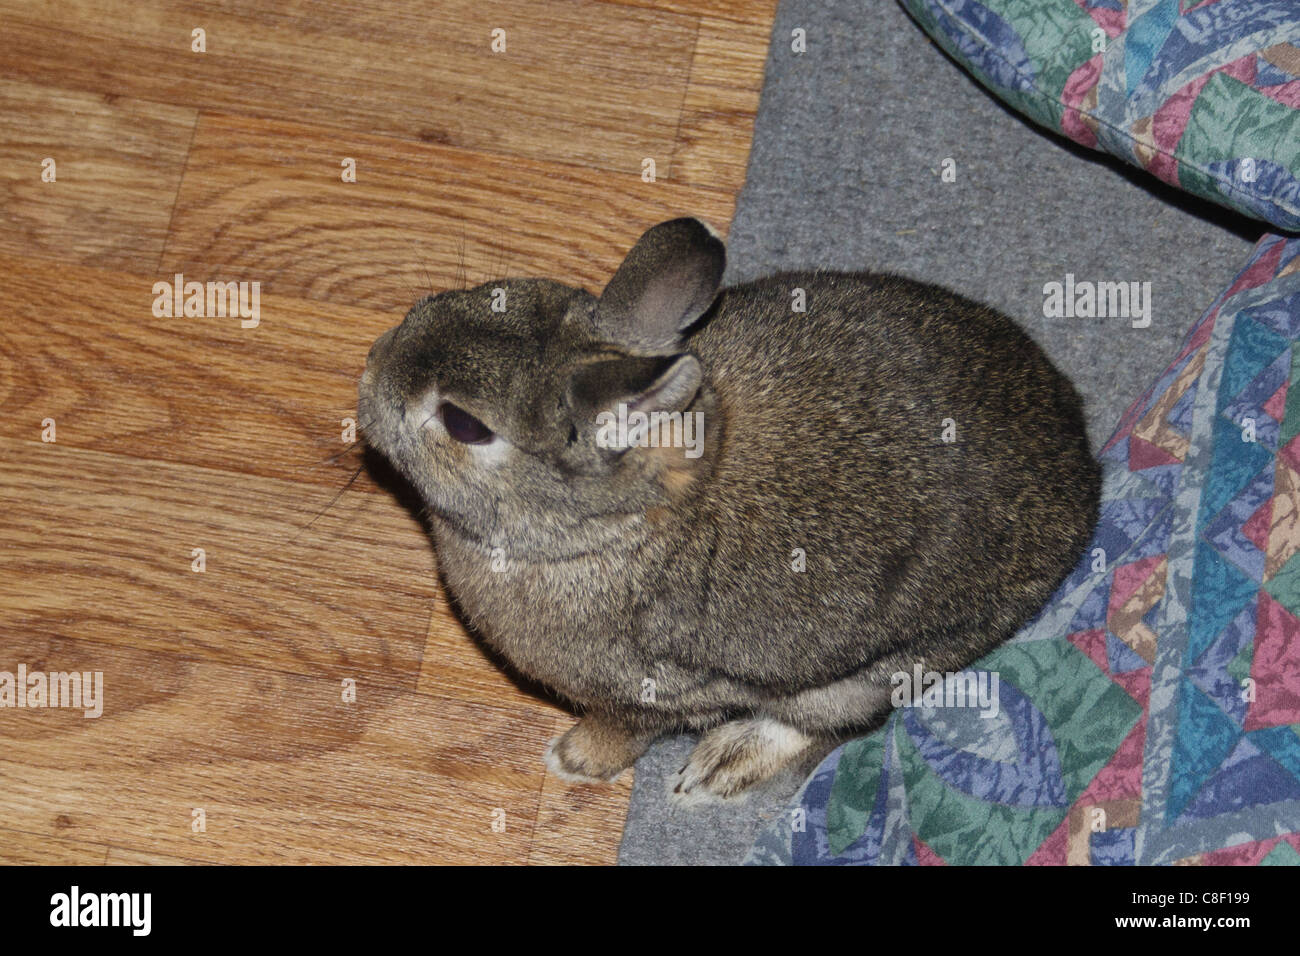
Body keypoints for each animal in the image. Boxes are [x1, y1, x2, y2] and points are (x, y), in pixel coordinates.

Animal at [358, 218, 1101, 801]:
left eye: (464, 424)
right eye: (457, 298)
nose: (370, 370)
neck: (612, 527)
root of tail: (1085, 478)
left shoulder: (650, 695)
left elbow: (624, 731)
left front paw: (572, 762)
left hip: (862, 674)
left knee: (829, 722)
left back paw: (717, 768)